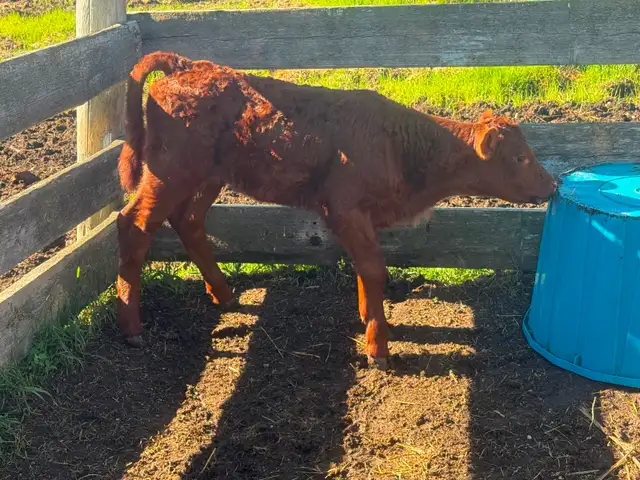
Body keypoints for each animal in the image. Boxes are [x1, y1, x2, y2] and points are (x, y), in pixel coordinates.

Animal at [116, 52, 557, 369]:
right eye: (519, 157)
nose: (552, 185)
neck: (397, 144)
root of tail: (187, 66)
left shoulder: (360, 217)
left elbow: (365, 268)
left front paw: (368, 320)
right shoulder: (344, 210)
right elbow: (375, 268)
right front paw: (378, 346)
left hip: (209, 178)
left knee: (189, 221)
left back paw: (223, 295)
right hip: (169, 174)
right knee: (134, 225)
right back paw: (131, 327)